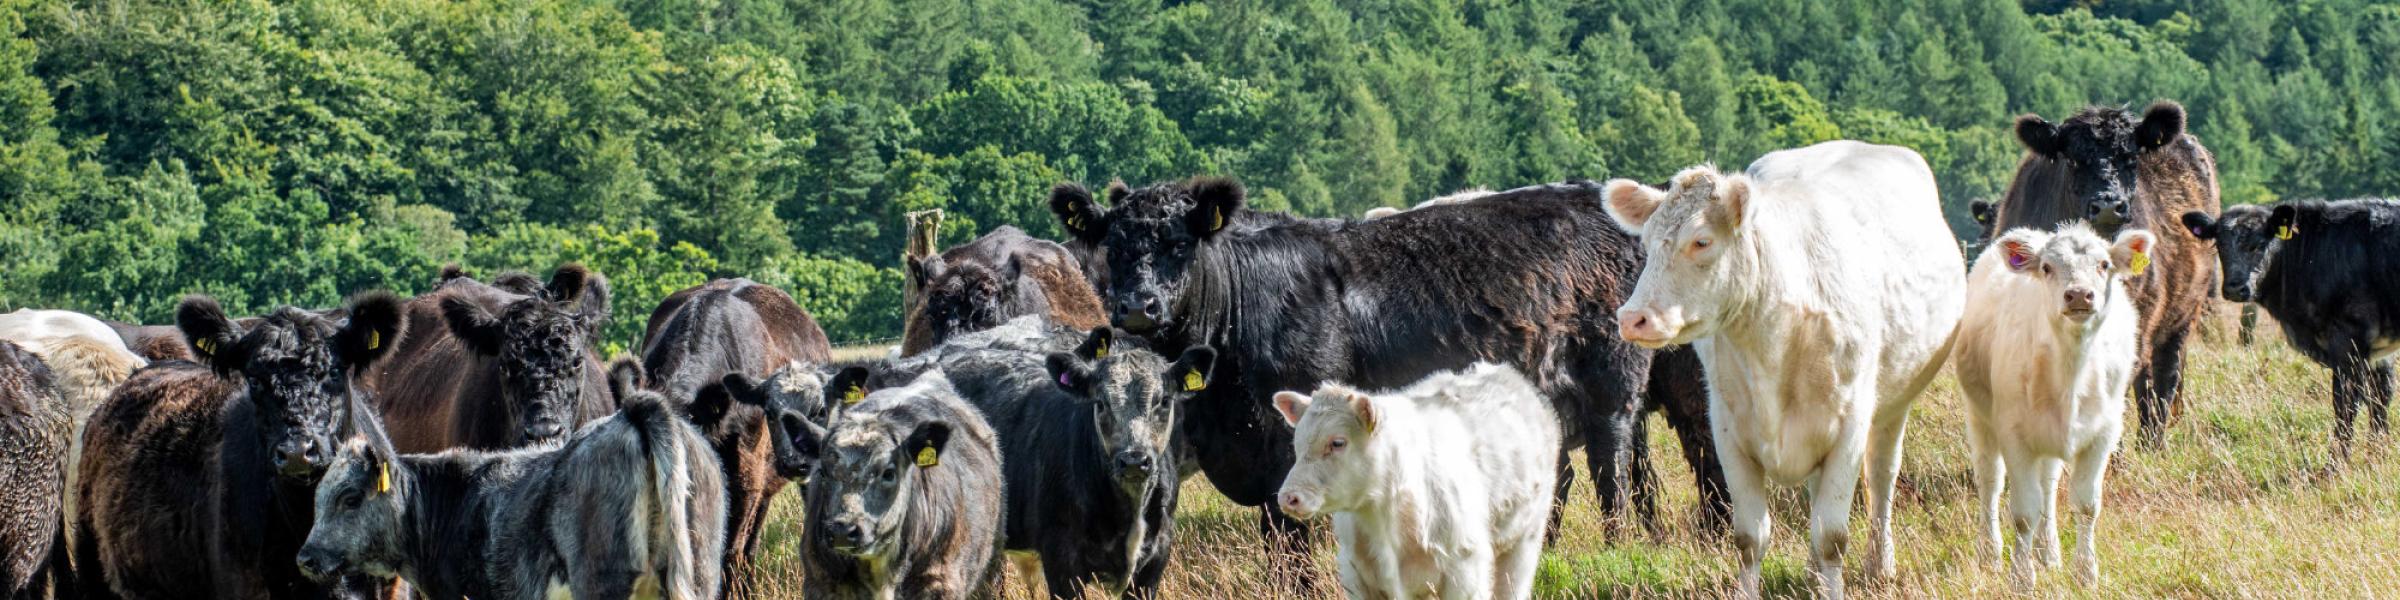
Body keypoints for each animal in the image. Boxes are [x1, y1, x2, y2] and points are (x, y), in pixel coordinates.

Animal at [1048, 176, 1723, 564]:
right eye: (1114, 246)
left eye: (1179, 244)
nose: (1138, 307)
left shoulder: (1293, 443)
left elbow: (1295, 539)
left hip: (1615, 380)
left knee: (1619, 462)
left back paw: (1620, 543)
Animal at [1273, 363, 1559, 600]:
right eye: (1297, 440)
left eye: (1338, 442)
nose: (1288, 497)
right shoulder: (1357, 577)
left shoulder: (1465, 573)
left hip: (1525, 540)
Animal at [1603, 141, 1966, 598]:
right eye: (1648, 243)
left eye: (1701, 241)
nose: (1633, 318)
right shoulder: (1729, 432)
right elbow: (1749, 538)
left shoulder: (1848, 430)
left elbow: (1832, 536)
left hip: (1893, 406)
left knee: (1882, 477)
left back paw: (1879, 565)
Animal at [1957, 224, 2152, 587]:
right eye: (2047, 267)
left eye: (2104, 264)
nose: (2078, 295)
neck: (2070, 372)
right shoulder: (2013, 433)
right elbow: (2023, 512)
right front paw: (2021, 577)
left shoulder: (2104, 433)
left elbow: (2086, 505)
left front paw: (2086, 573)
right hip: (1980, 417)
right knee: (1990, 481)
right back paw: (1989, 553)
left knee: (2047, 486)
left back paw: (2048, 553)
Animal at [2185, 200, 2400, 465]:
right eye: (2220, 245)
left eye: (2260, 243)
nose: (2235, 288)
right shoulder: (2378, 349)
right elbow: (2380, 397)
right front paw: (2377, 454)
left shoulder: (2348, 339)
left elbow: (2346, 403)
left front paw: (2336, 464)